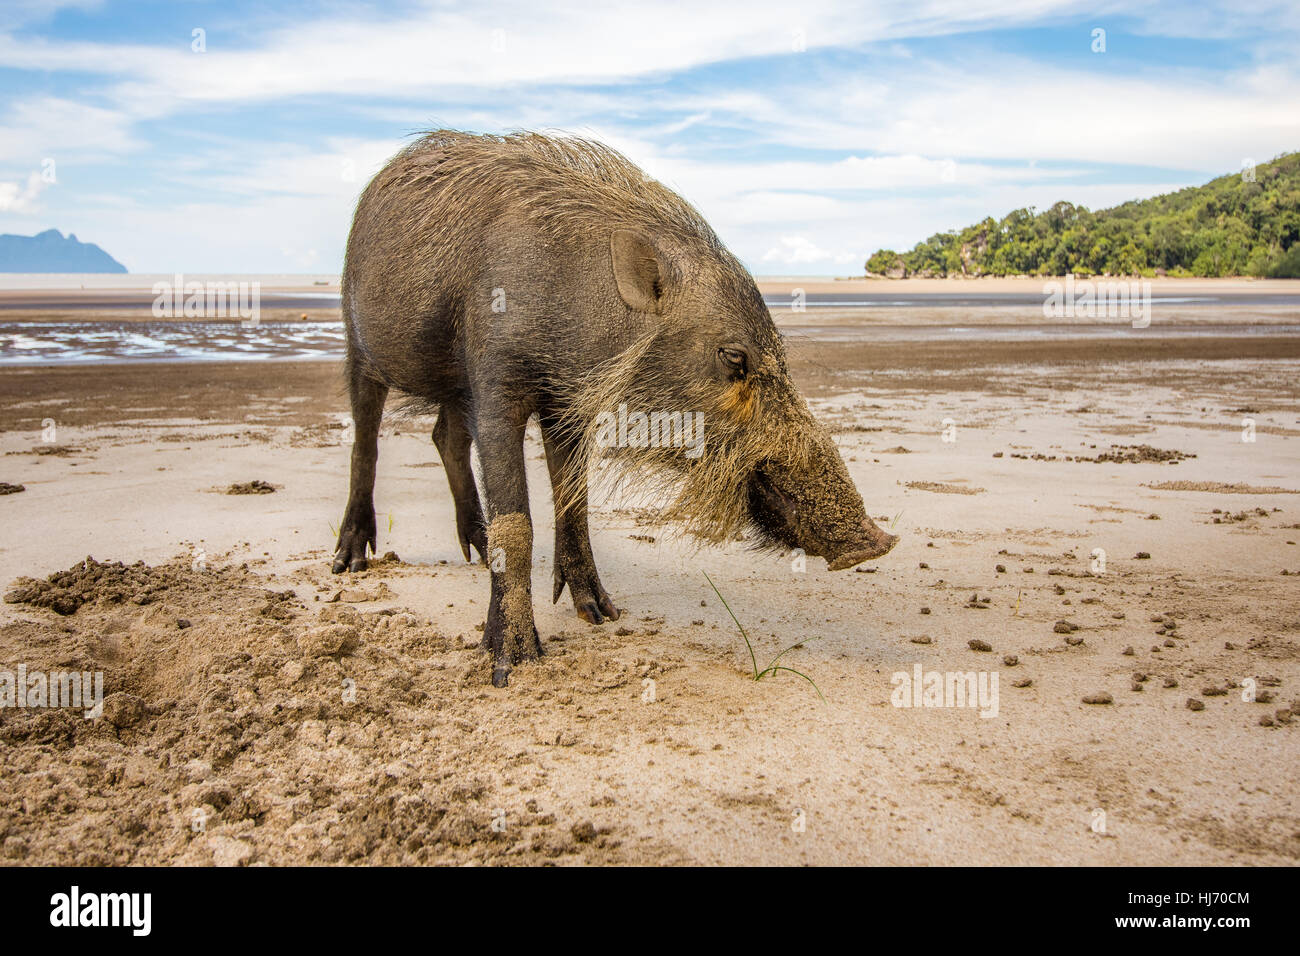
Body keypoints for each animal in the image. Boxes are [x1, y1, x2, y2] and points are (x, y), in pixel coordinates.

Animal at [334, 131, 898, 686]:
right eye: (734, 357)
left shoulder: (564, 405)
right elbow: (517, 524)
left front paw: (603, 614)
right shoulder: (497, 386)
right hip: (357, 341)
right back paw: (348, 562)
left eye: (782, 355)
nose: (877, 543)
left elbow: (574, 503)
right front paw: (514, 664)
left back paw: (471, 551)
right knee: (366, 436)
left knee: (445, 437)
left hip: (454, 388)